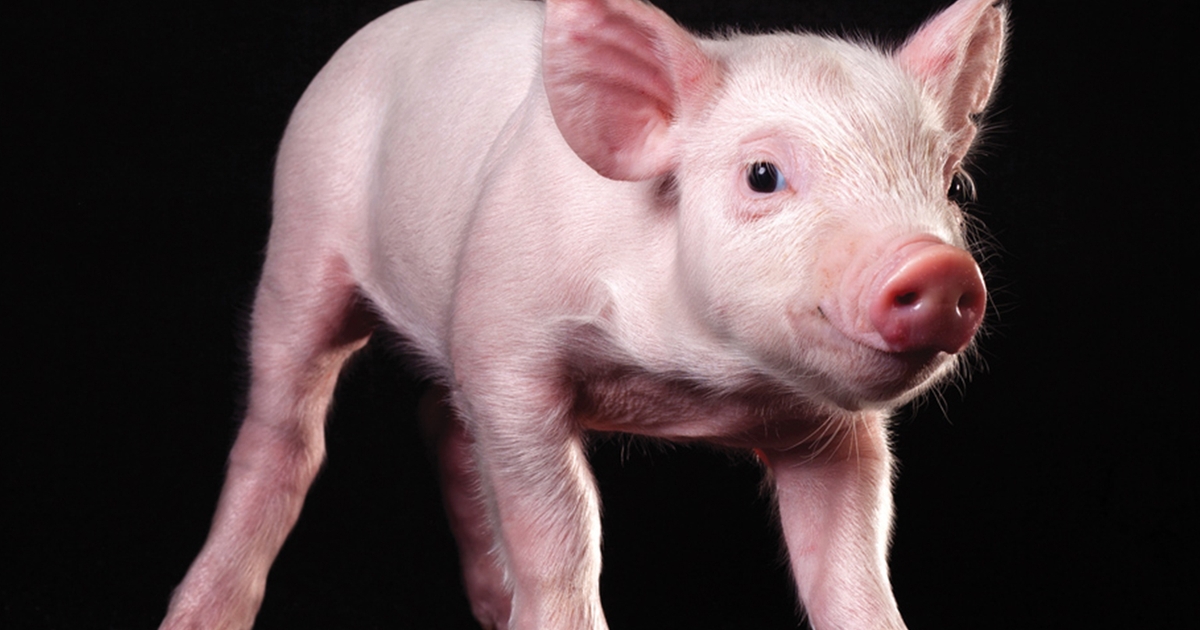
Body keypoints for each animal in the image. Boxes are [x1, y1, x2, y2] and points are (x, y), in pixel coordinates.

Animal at [160, 0, 1007, 628]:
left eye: (954, 186)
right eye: (763, 175)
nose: (938, 268)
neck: (692, 388)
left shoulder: (833, 428)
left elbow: (853, 559)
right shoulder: (505, 348)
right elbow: (563, 534)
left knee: (442, 413)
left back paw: (492, 609)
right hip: (301, 233)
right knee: (284, 430)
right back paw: (200, 613)